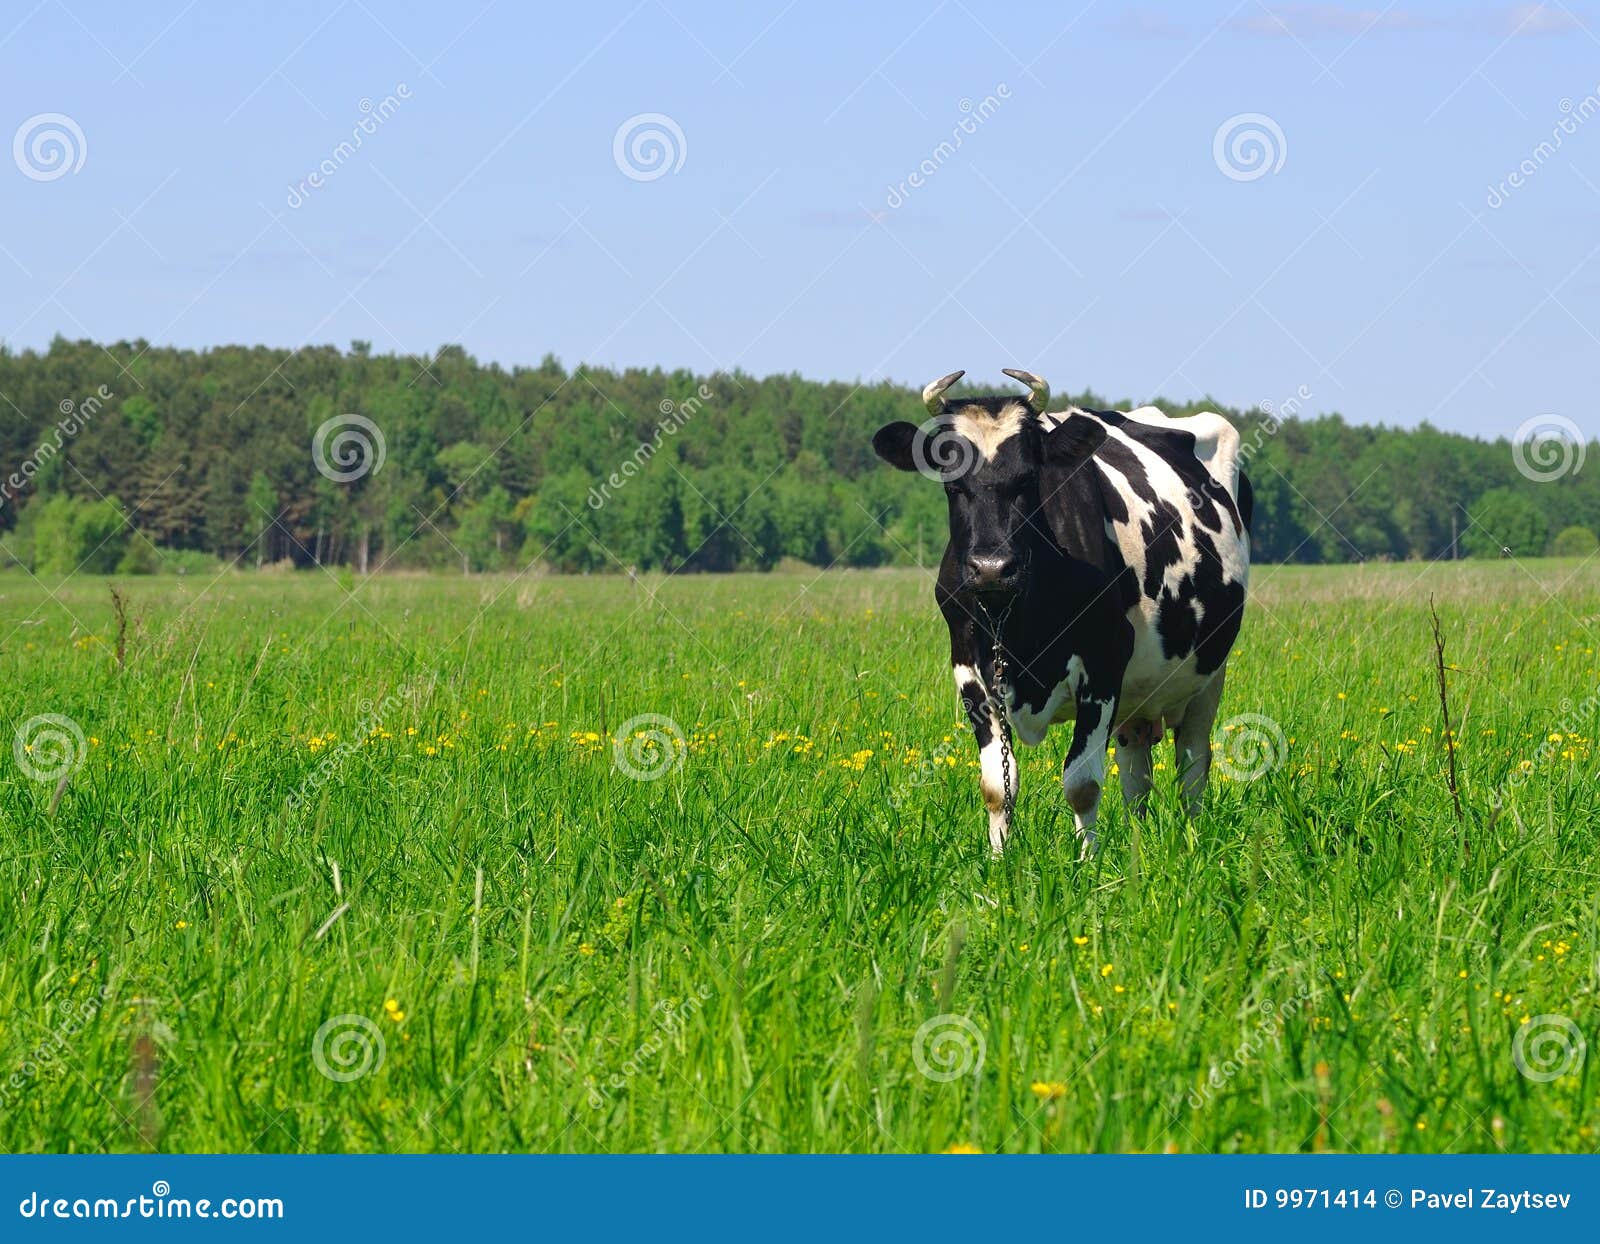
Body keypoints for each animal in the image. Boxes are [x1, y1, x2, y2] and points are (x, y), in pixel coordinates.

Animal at [872, 369, 1252, 858]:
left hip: (1208, 676)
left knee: (1192, 767)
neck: (1015, 619)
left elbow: (1082, 784)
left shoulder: (1104, 663)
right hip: (1138, 697)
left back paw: (1190, 839)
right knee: (1137, 775)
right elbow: (997, 786)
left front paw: (1087, 862)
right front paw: (997, 860)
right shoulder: (969, 670)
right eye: (952, 484)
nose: (991, 567)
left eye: (1029, 479)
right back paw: (1137, 841)